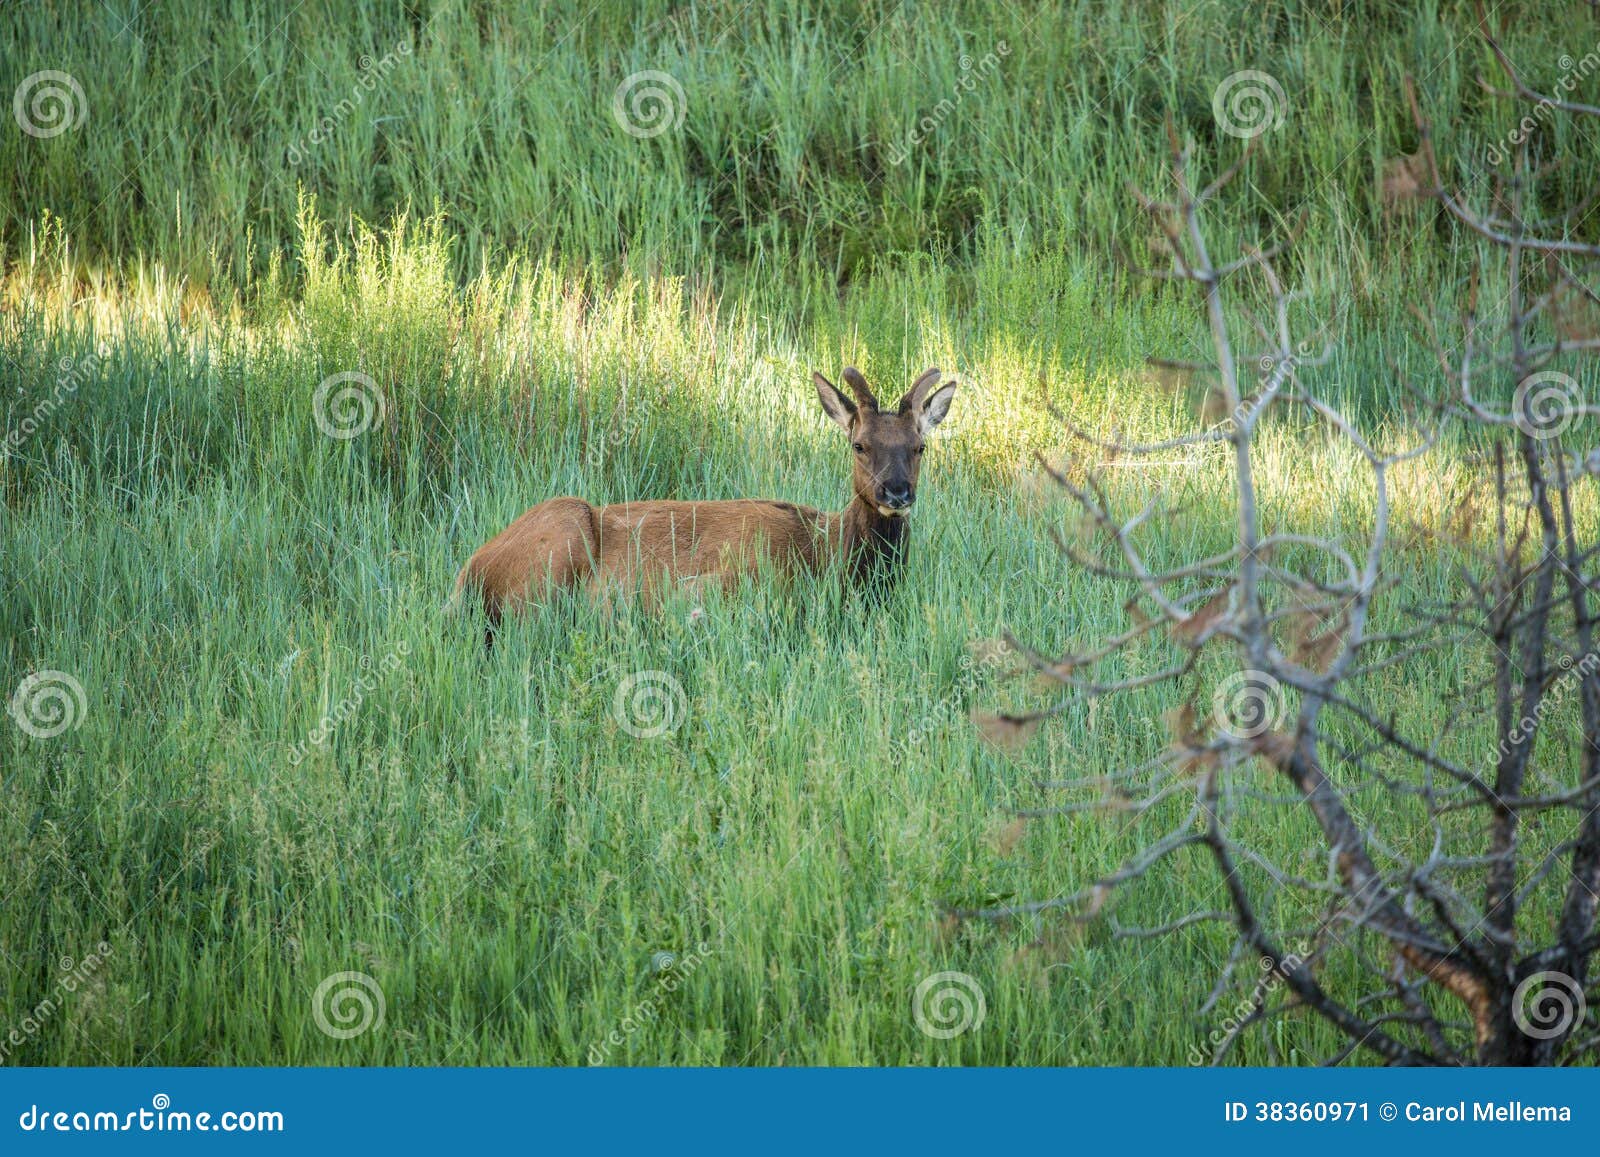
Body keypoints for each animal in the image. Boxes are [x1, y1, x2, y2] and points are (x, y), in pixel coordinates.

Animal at [450, 366, 956, 634]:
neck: (826, 552)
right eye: (859, 445)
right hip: (562, 531)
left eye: (919, 447)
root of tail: (469, 574)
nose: (897, 492)